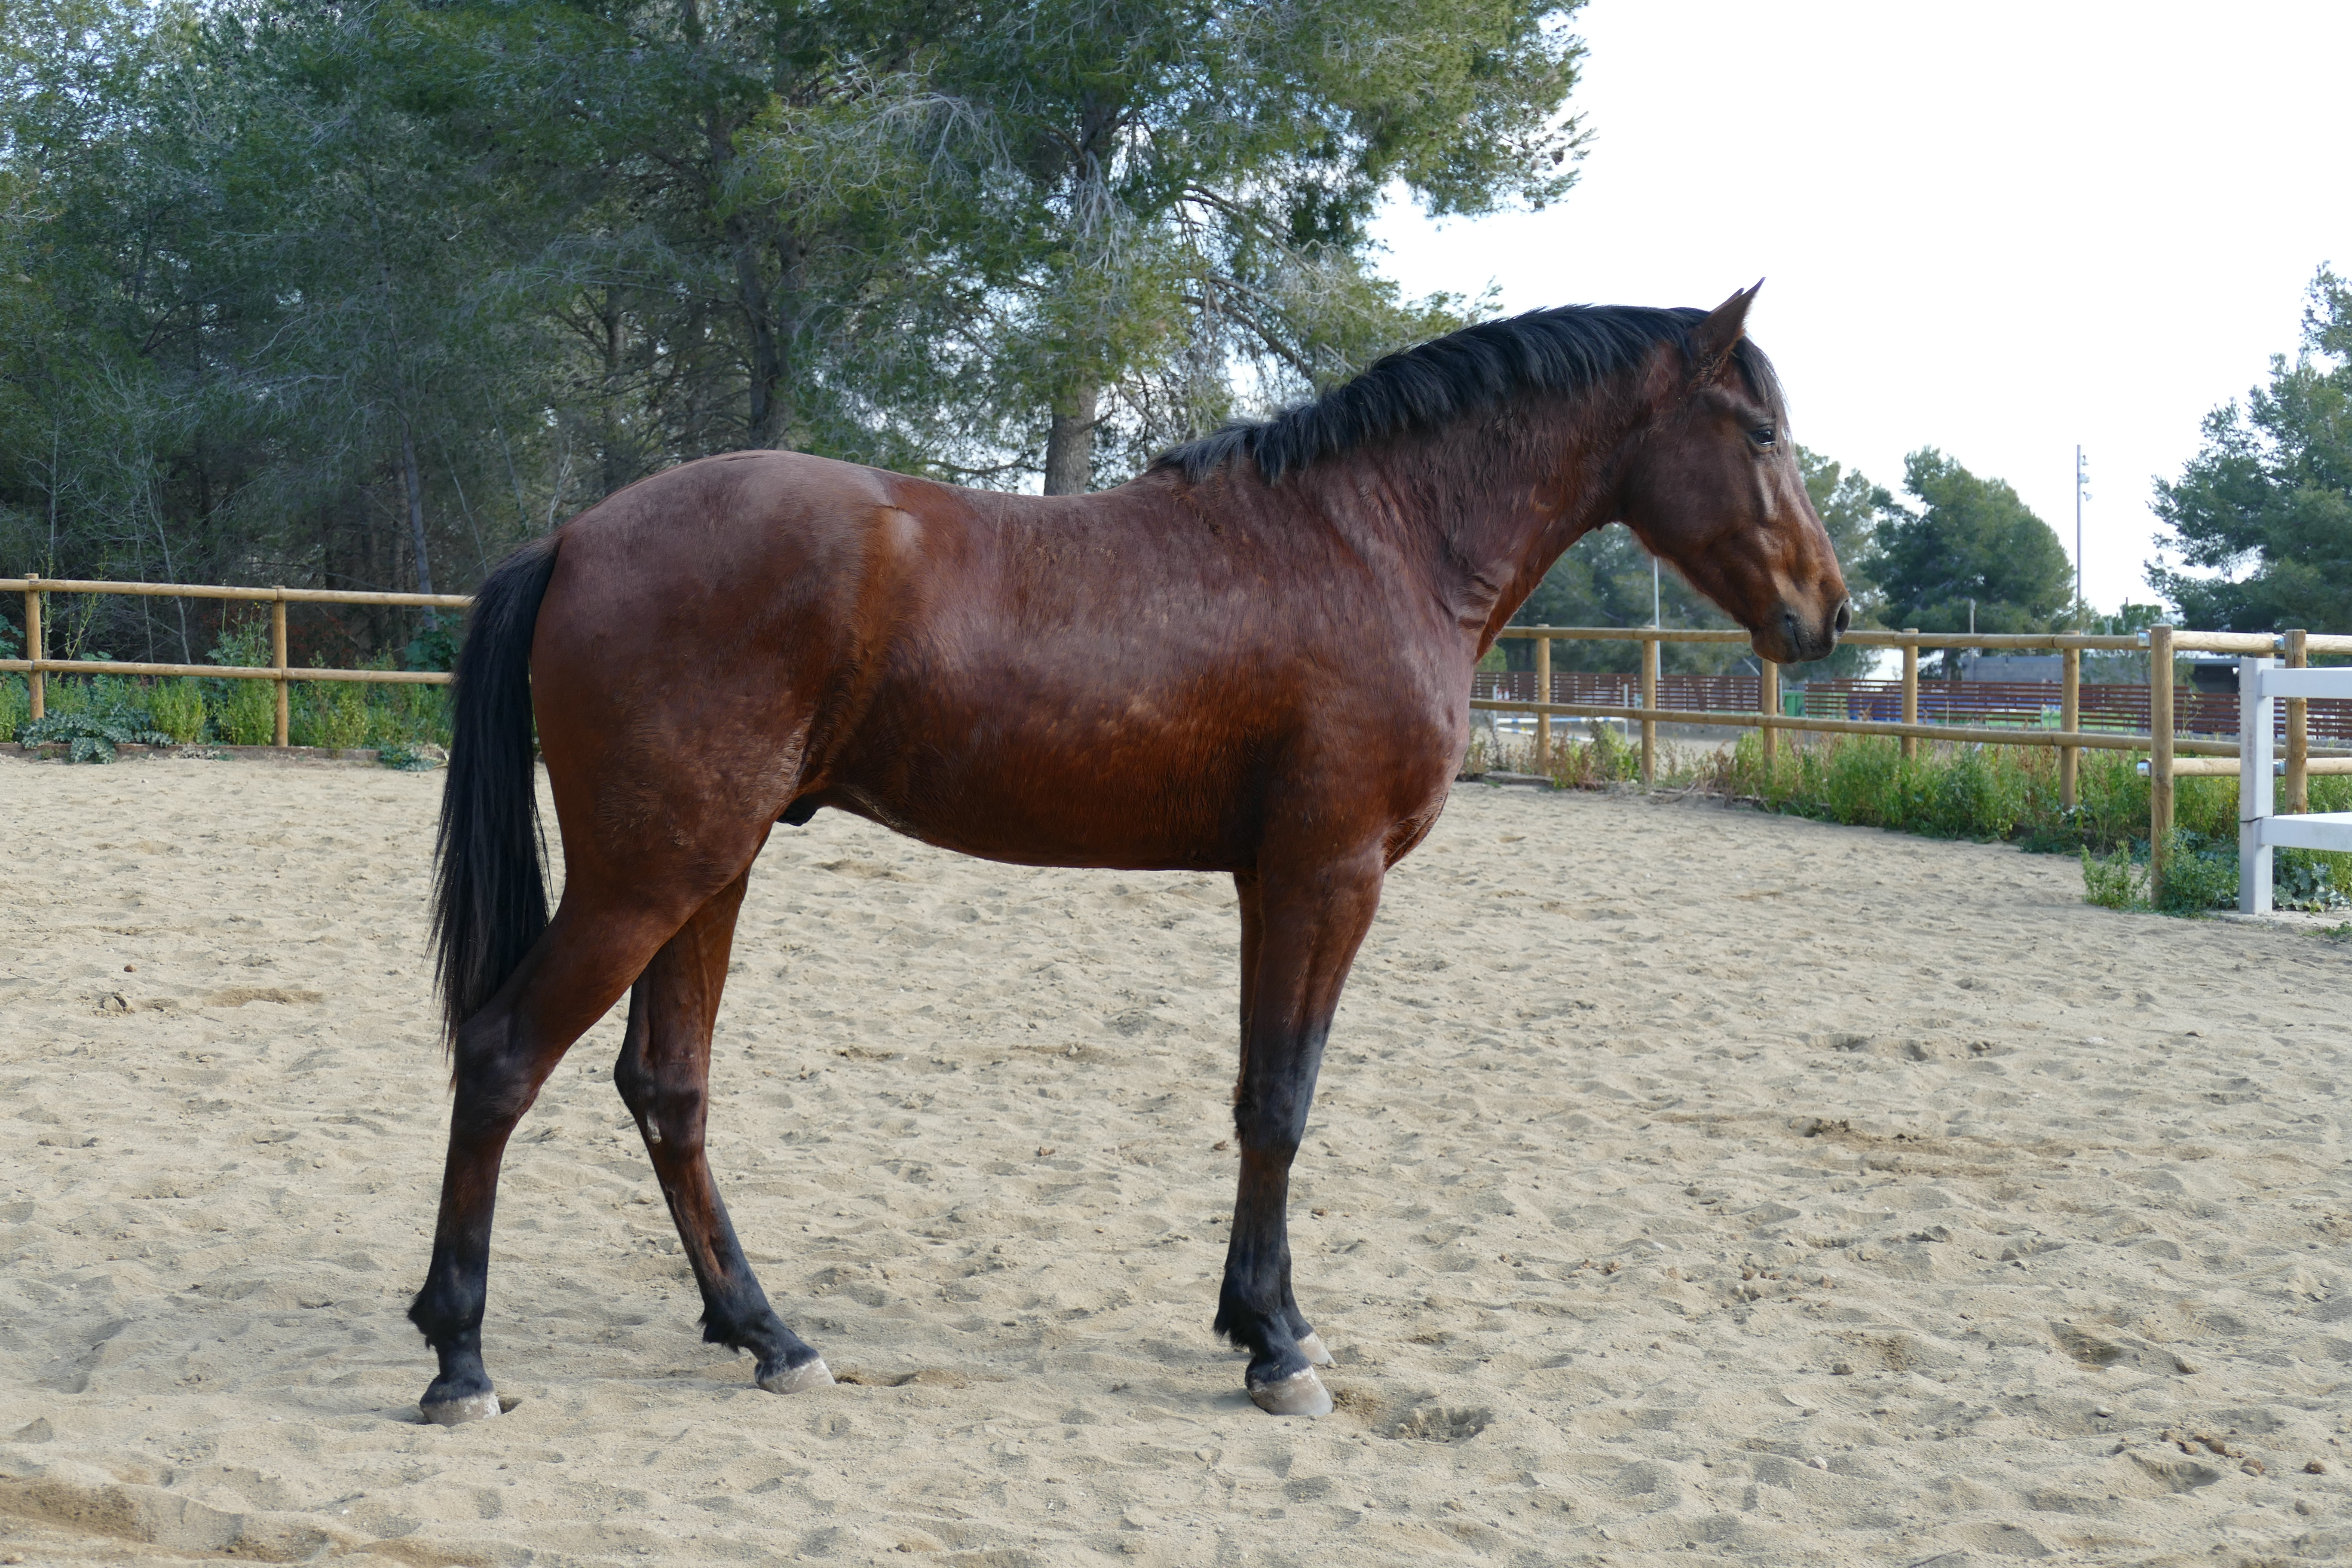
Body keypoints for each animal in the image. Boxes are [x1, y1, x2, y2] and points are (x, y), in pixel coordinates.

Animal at [406, 283, 1848, 1425]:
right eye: (1760, 432)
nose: (1824, 613)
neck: (1377, 541)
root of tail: (576, 537)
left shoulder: (1275, 879)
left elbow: (1264, 1091)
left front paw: (1271, 1321)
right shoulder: (1330, 873)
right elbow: (1282, 1102)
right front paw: (1275, 1349)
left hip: (712, 868)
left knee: (668, 1088)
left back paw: (769, 1335)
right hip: (651, 875)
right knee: (503, 1058)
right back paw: (461, 1359)